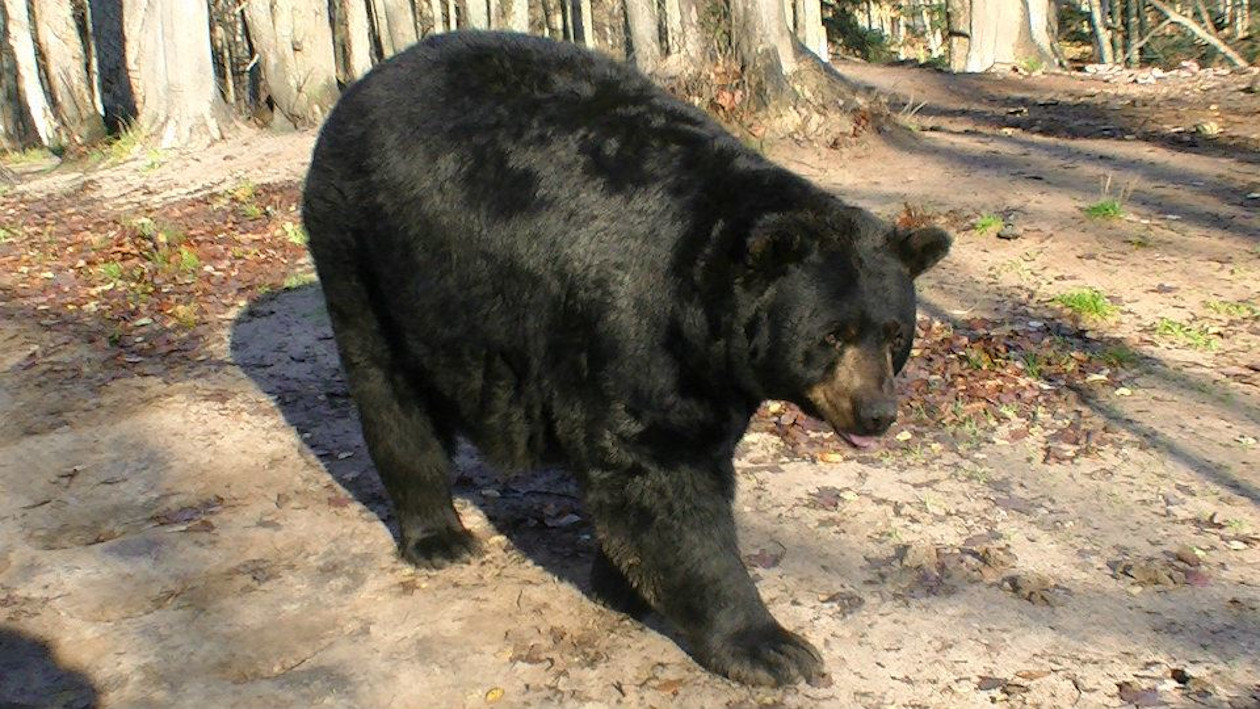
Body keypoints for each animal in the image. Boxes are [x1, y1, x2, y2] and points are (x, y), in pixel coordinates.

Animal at [301, 31, 949, 686]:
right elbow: (661, 478)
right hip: (365, 252)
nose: (877, 413)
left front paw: (619, 583)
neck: (704, 302)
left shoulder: (710, 377)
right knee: (391, 392)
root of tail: (368, 81)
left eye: (895, 334)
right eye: (833, 334)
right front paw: (772, 645)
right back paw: (438, 535)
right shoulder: (629, 329)